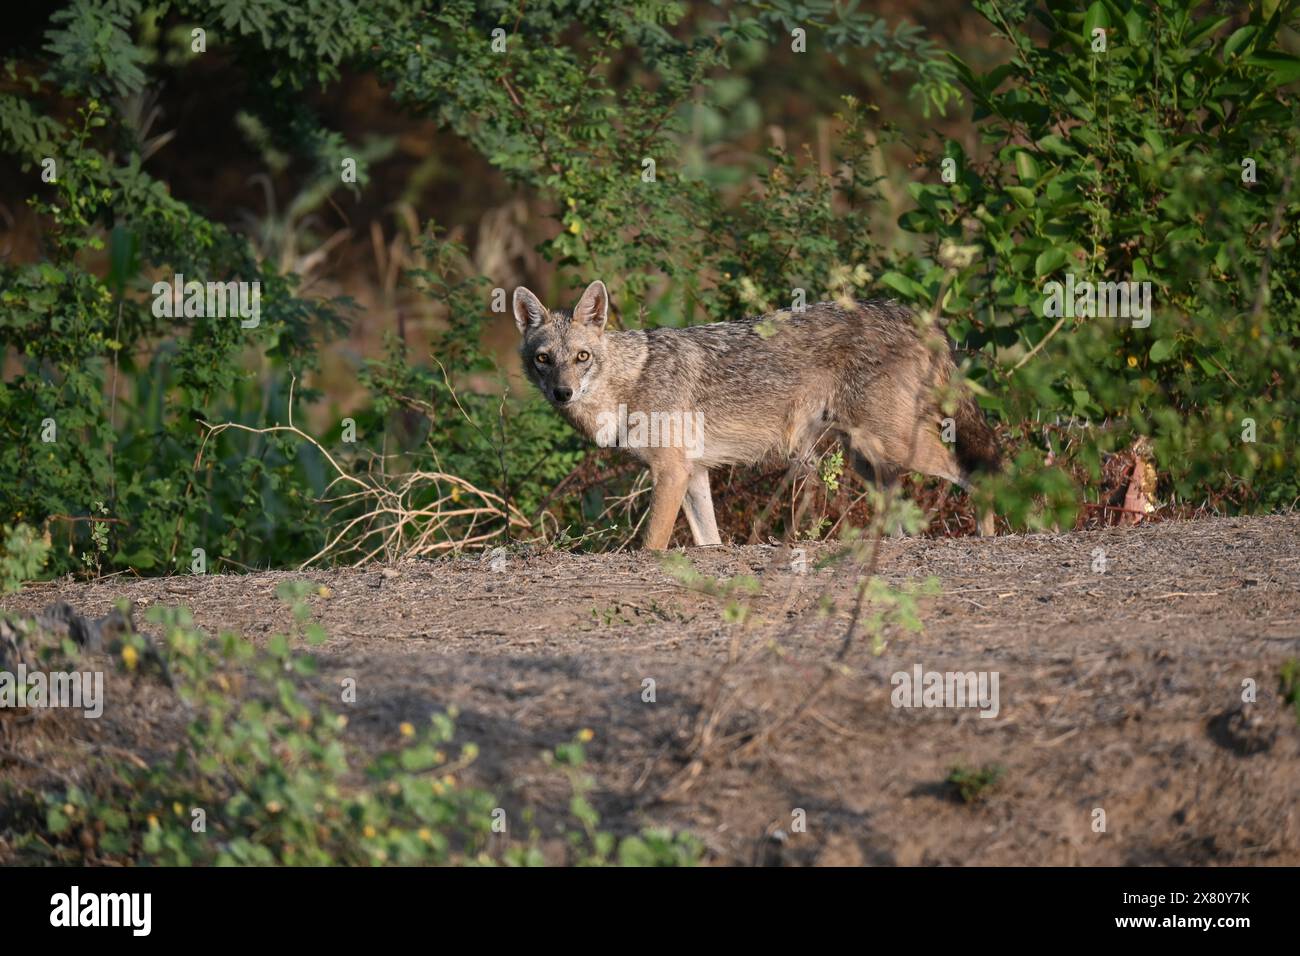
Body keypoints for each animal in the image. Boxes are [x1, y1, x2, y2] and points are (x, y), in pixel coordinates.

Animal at [514, 280, 1001, 549]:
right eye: (543, 359)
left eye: (581, 357)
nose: (562, 393)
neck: (630, 381)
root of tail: (909, 313)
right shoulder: (693, 473)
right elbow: (709, 539)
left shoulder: (670, 472)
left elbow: (652, 544)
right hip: (869, 460)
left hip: (891, 447)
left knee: (976, 471)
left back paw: (988, 535)